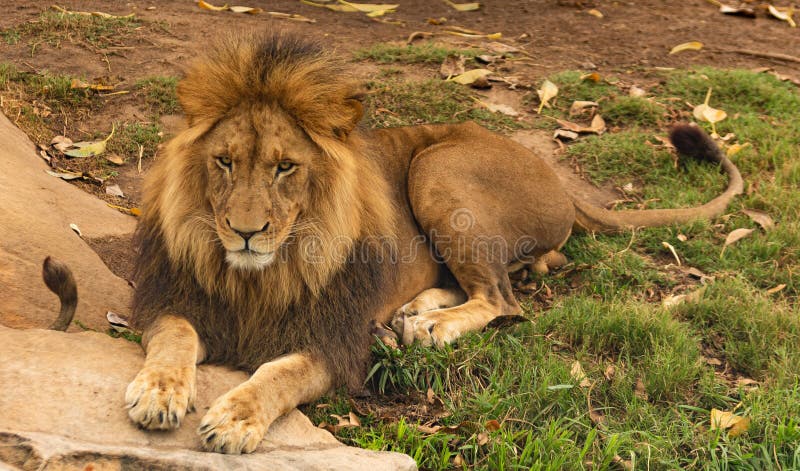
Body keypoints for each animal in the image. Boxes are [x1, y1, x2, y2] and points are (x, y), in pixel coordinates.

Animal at [122, 32, 742, 454]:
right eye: (225, 162)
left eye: (285, 168)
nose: (246, 231)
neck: (265, 272)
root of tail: (561, 182)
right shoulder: (170, 300)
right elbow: (175, 337)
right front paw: (156, 392)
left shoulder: (337, 343)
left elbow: (280, 374)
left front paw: (234, 420)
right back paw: (415, 313)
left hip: (437, 169)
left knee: (503, 298)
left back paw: (431, 327)